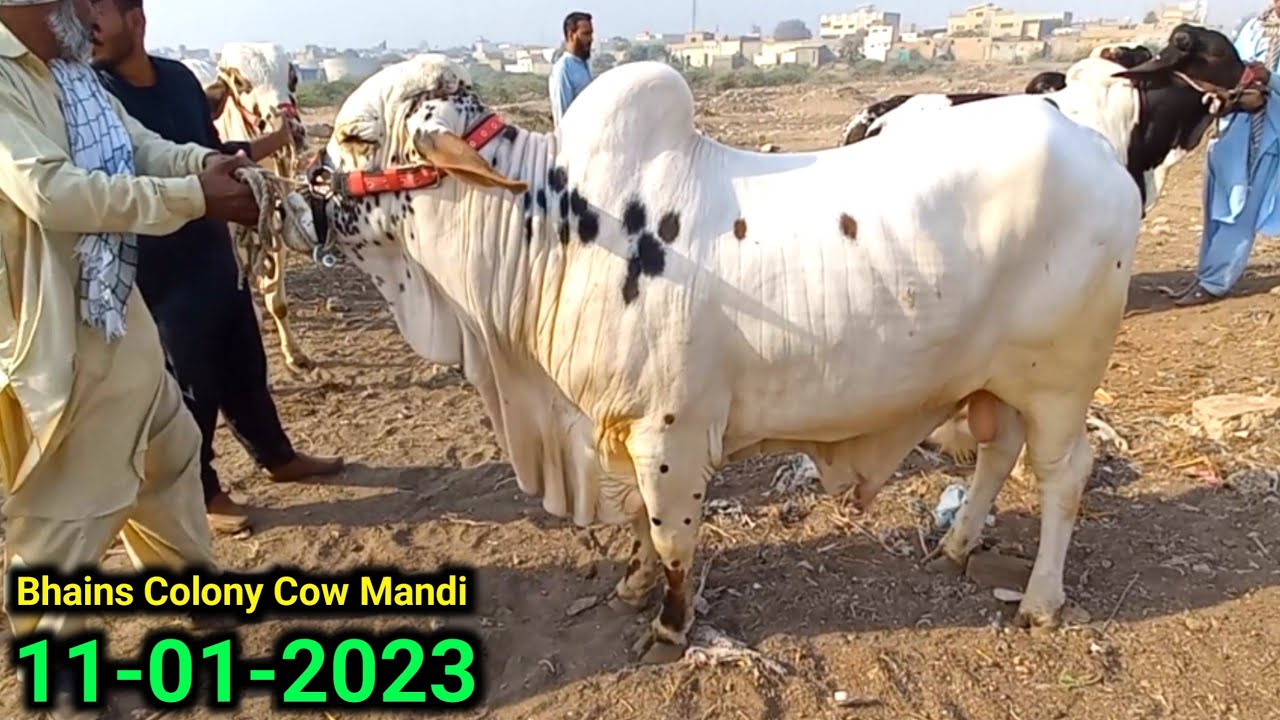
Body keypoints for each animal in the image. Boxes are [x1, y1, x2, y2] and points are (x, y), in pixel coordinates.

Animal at [303, 53, 1144, 662]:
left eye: (356, 137)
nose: (304, 200)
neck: (550, 225)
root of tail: (1100, 150)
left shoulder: (669, 434)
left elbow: (673, 536)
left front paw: (670, 624)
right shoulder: (616, 432)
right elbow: (639, 527)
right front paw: (633, 585)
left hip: (1060, 381)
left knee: (1064, 476)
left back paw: (1040, 600)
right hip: (995, 380)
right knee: (997, 455)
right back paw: (957, 544)